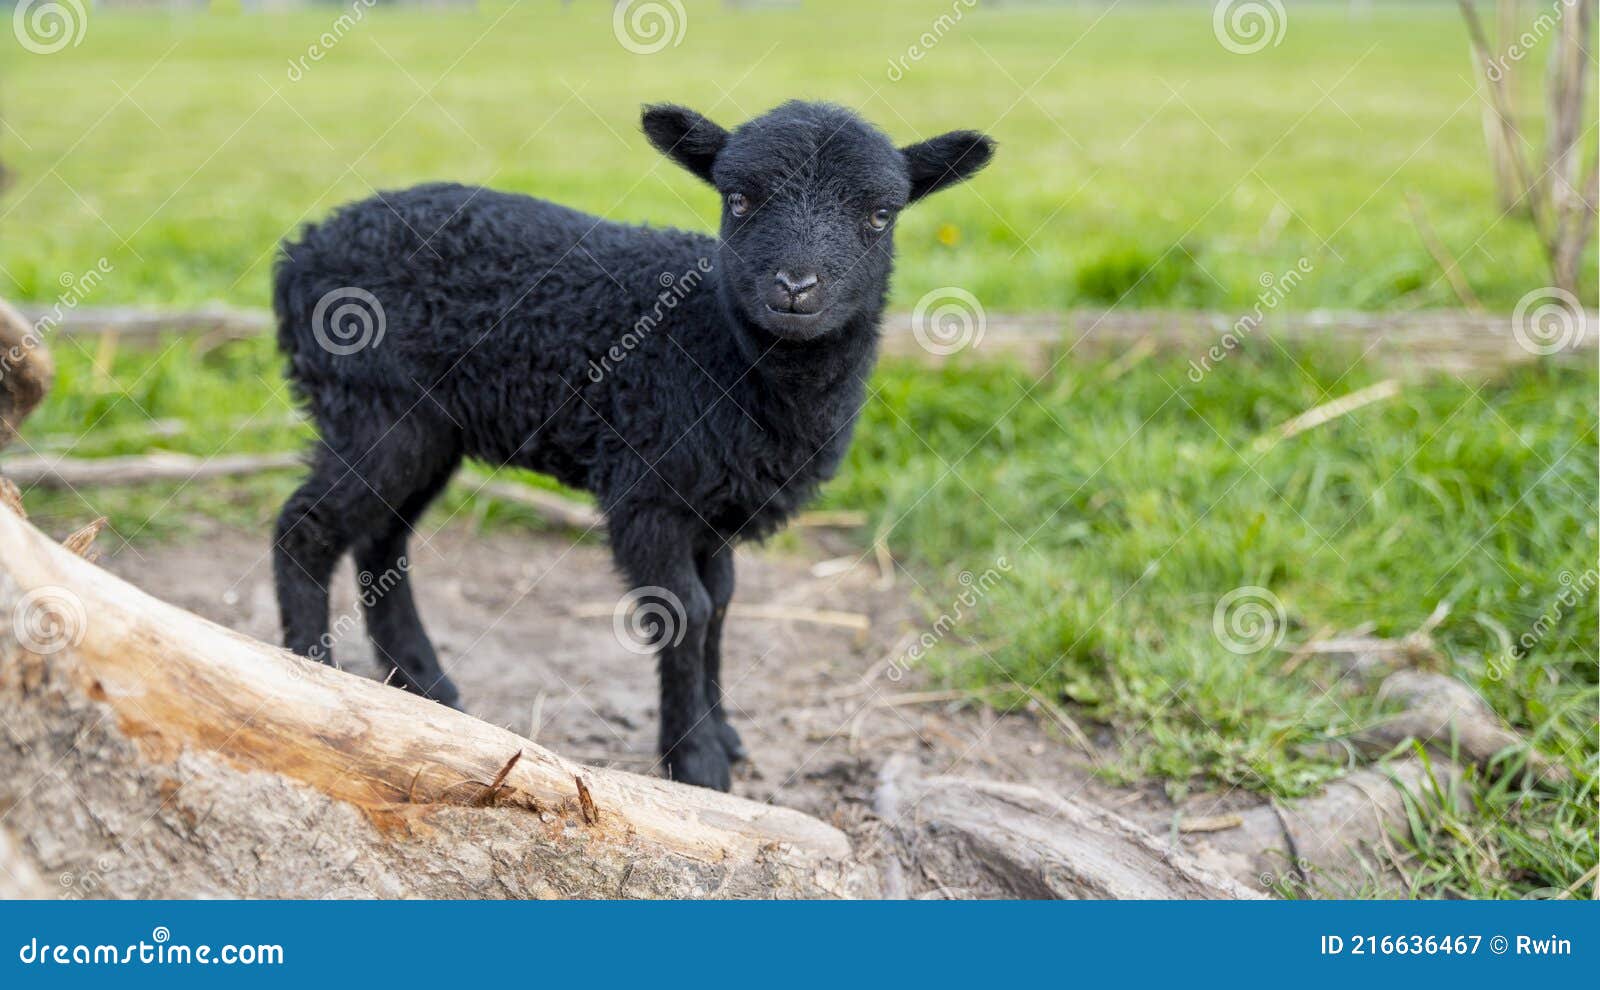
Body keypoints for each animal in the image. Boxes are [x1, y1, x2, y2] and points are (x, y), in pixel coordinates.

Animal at [272, 100, 994, 790]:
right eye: (738, 198)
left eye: (880, 214)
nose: (795, 288)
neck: (718, 349)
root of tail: (299, 251)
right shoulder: (649, 490)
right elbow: (687, 613)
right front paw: (697, 760)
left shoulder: (715, 505)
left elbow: (721, 604)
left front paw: (723, 733)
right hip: (375, 408)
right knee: (306, 527)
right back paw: (312, 677)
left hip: (426, 429)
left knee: (381, 541)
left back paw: (426, 687)